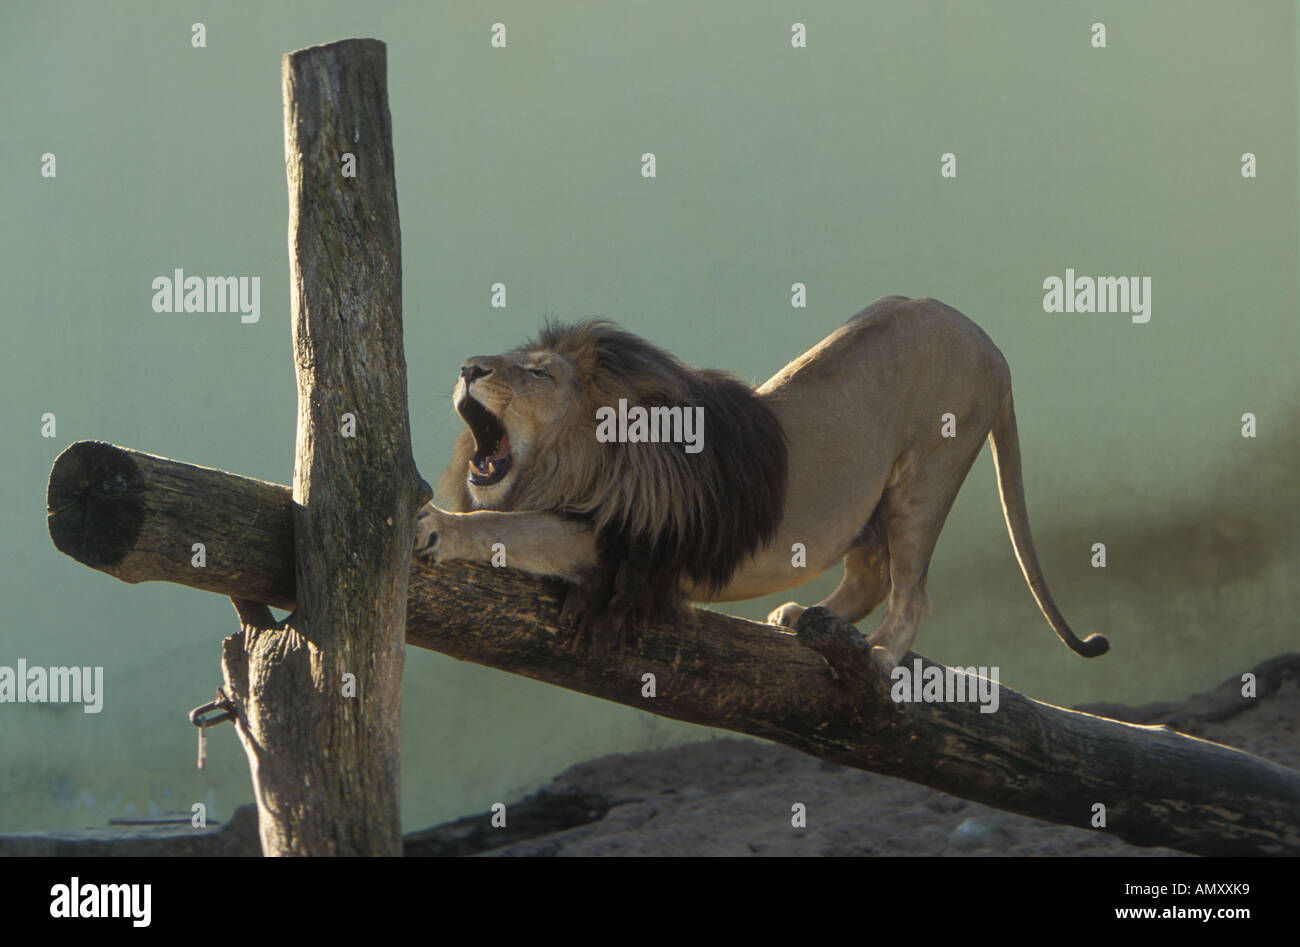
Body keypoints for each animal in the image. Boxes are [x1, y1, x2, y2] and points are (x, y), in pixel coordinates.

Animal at [414, 295, 1109, 669]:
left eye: (536, 373)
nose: (468, 368)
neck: (577, 451)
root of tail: (993, 346)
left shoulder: (623, 537)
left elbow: (513, 526)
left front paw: (439, 527)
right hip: (869, 503)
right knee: (871, 574)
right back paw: (806, 617)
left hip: (929, 472)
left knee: (912, 593)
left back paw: (879, 655)